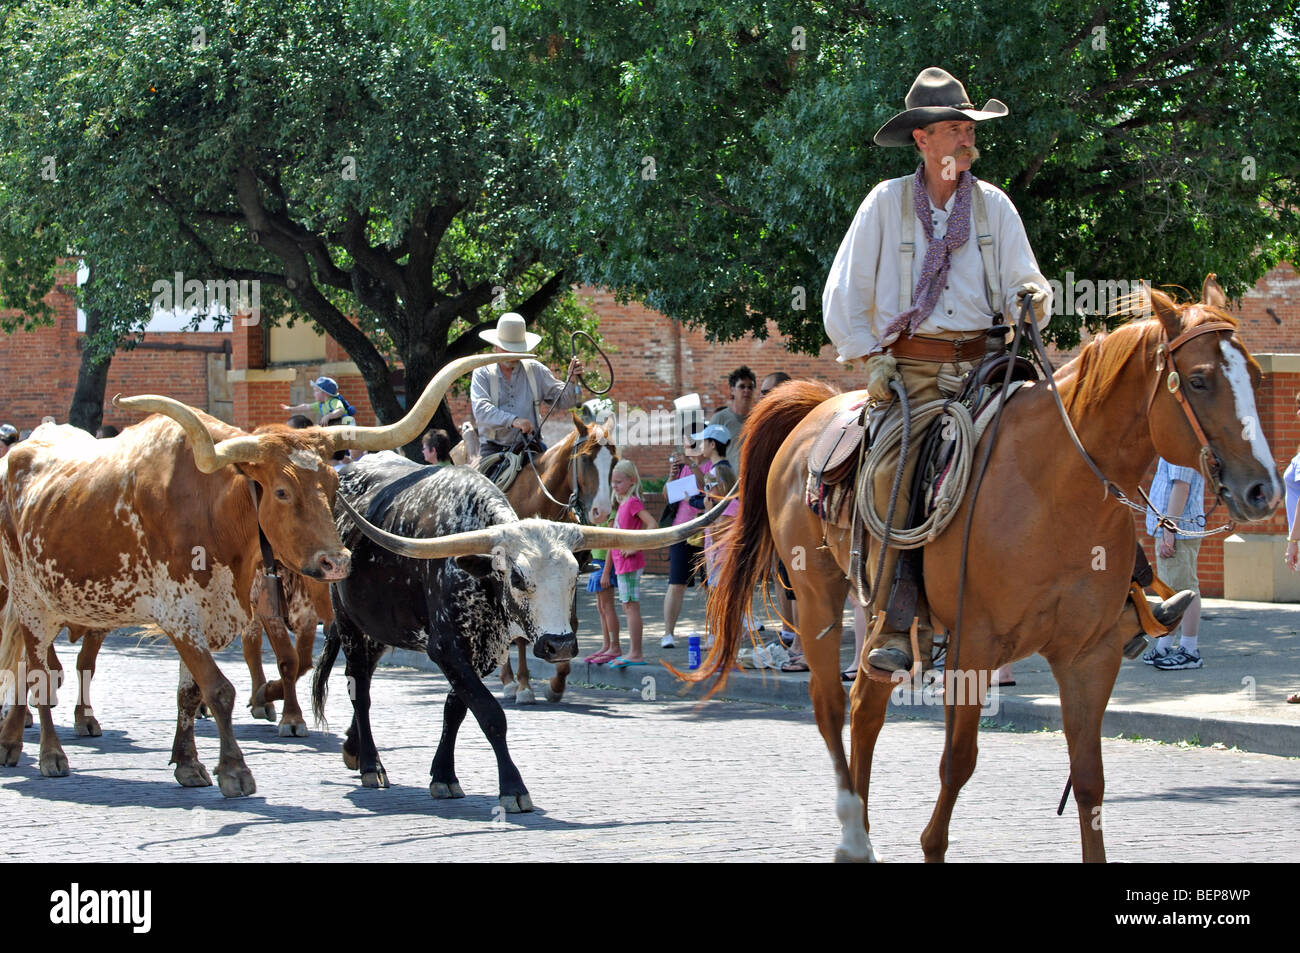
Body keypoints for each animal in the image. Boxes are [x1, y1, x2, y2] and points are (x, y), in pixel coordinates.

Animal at [0, 354, 505, 796]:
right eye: (280, 491)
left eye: (332, 485)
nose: (337, 562)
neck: (213, 510)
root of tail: (21, 452)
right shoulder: (181, 613)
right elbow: (220, 689)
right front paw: (235, 770)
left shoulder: (216, 611)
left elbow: (193, 691)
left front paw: (189, 763)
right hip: (31, 600)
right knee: (37, 670)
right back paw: (48, 753)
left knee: (58, 665)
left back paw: (26, 737)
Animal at [312, 452, 728, 811]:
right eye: (516, 577)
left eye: (575, 576)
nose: (559, 644)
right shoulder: (447, 649)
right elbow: (490, 713)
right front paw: (512, 788)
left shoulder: (484, 652)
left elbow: (456, 709)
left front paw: (443, 776)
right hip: (350, 626)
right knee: (360, 692)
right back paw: (370, 765)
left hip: (378, 630)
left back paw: (352, 749)